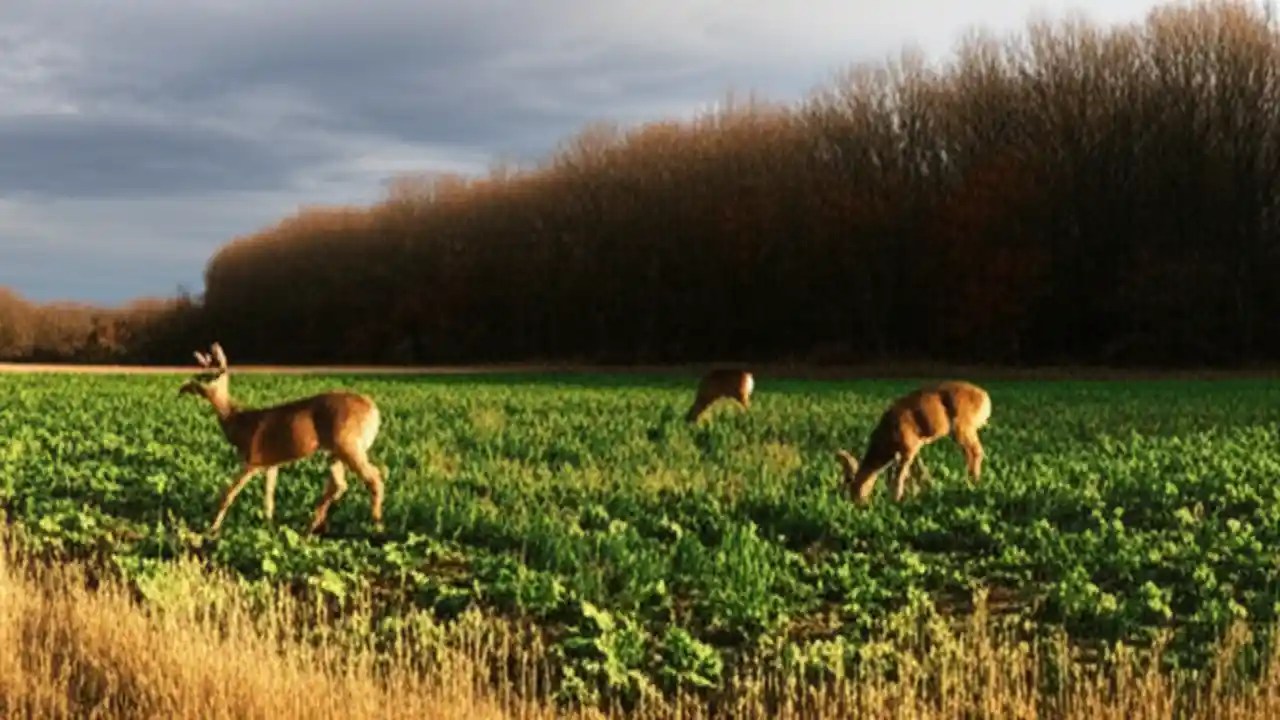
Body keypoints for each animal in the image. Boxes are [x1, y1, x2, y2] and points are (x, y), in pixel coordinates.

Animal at [178, 343, 385, 536]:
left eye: (209, 377)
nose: (184, 387)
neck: (238, 422)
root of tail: (374, 412)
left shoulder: (252, 460)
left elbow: (227, 494)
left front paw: (210, 530)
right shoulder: (270, 464)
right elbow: (268, 500)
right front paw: (269, 529)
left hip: (348, 444)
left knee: (373, 478)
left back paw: (376, 525)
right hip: (335, 451)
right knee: (339, 486)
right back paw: (310, 529)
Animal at [835, 380, 991, 504]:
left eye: (851, 482)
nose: (855, 502)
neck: (886, 439)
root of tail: (986, 399)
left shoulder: (909, 446)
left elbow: (900, 475)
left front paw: (896, 499)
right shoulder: (914, 447)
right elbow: (916, 472)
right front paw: (922, 490)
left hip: (962, 427)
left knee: (976, 452)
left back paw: (973, 482)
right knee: (972, 453)